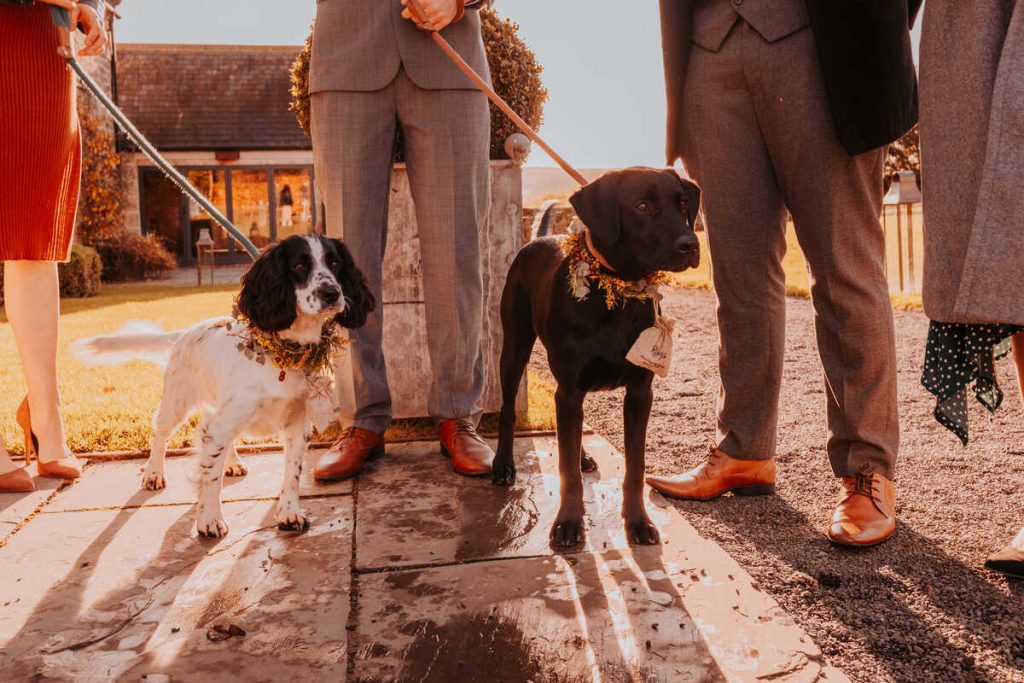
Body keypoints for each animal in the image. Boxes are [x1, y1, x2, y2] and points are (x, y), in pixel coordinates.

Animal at [75, 236, 374, 540]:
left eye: (335, 263)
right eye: (300, 265)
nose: (332, 293)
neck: (281, 355)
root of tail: (186, 331)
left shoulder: (297, 423)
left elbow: (292, 472)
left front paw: (289, 514)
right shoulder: (221, 423)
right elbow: (210, 476)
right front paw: (209, 521)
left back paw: (231, 463)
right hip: (176, 403)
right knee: (161, 434)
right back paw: (153, 474)